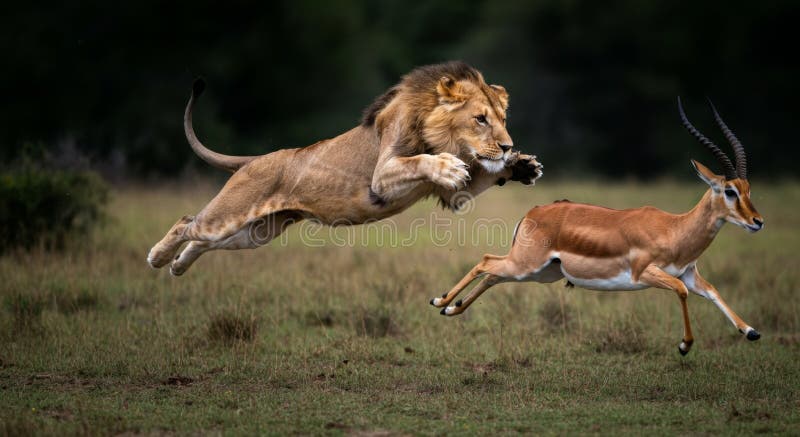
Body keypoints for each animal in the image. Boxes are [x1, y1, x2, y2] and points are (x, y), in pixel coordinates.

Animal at [147, 61, 543, 275]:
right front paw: (447, 164)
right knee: (187, 223)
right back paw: (158, 257)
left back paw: (178, 266)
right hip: (230, 215)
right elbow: (421, 161)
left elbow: (481, 176)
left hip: (256, 232)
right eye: (480, 119)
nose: (507, 145)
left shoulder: (454, 196)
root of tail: (255, 160)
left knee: (201, 240)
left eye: (503, 119)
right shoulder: (381, 176)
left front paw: (522, 166)